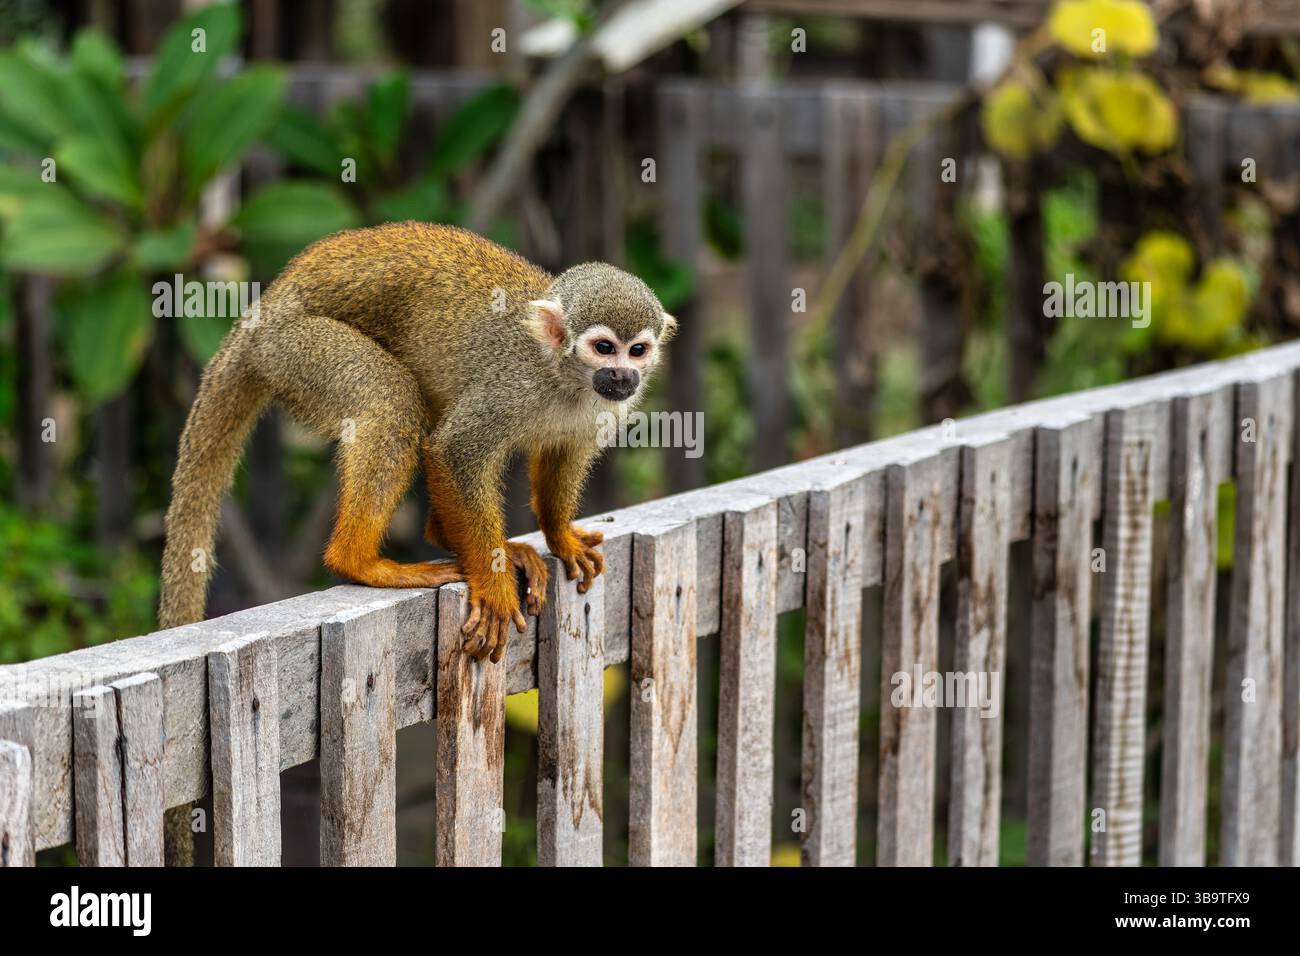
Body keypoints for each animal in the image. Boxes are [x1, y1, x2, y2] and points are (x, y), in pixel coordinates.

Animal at [158, 222, 676, 664]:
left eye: (638, 350)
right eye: (604, 347)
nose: (623, 376)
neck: (565, 377)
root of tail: (262, 311)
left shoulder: (600, 408)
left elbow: (564, 452)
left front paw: (559, 534)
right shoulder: (512, 383)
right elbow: (455, 451)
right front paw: (493, 585)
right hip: (296, 348)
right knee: (391, 402)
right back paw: (360, 561)